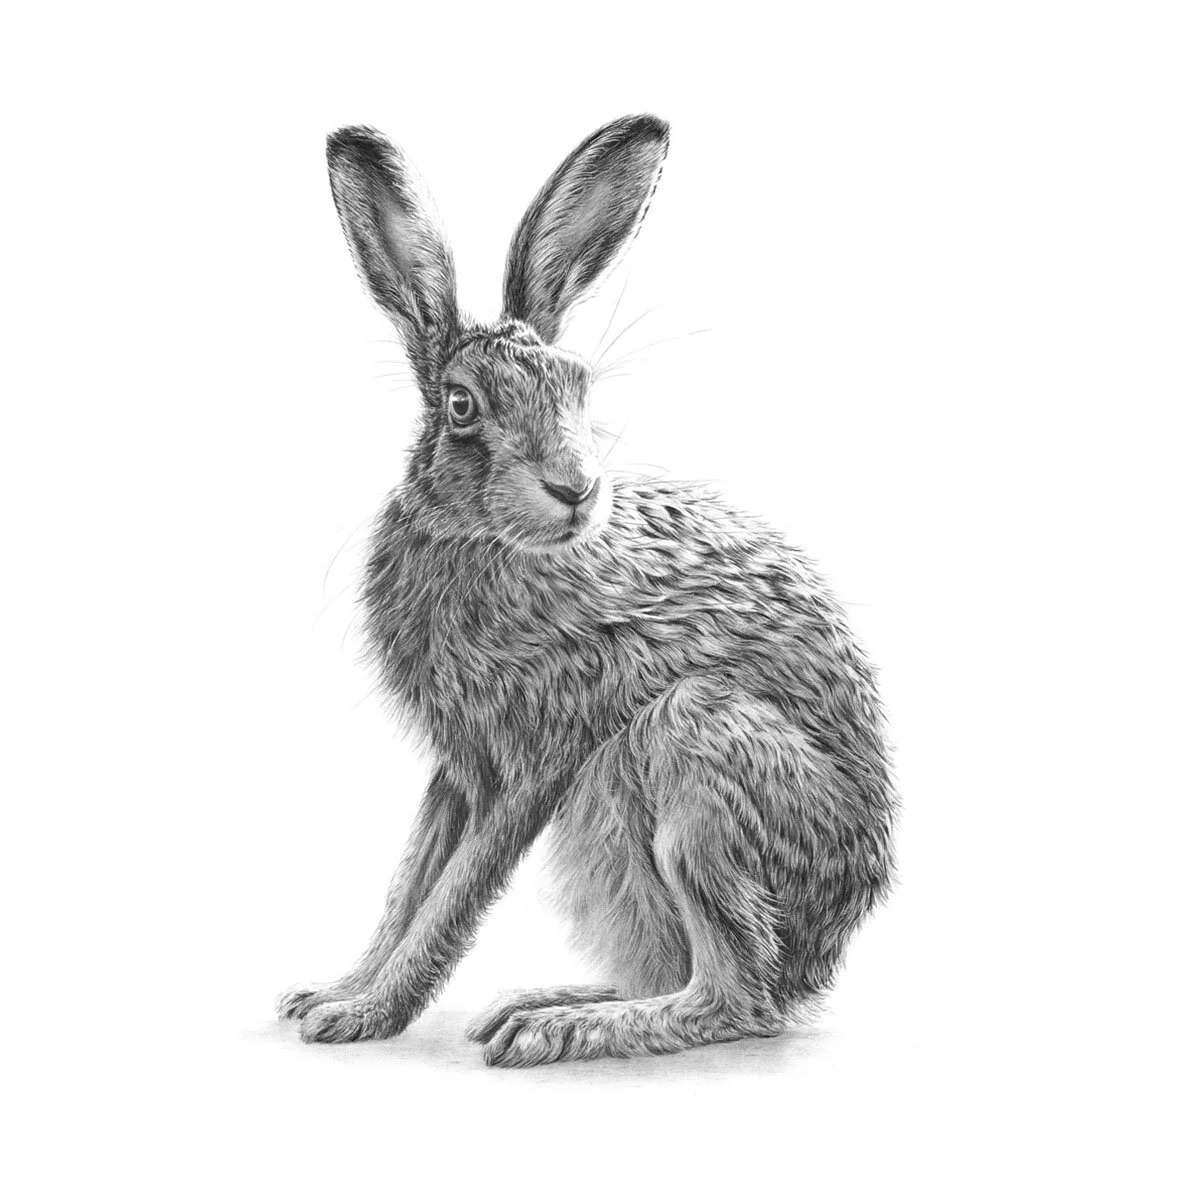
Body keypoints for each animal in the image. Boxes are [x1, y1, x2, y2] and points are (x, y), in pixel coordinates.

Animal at [277, 114, 897, 1067]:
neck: (490, 546)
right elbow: (412, 884)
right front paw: (335, 993)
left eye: (579, 390)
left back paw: (563, 1029)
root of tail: (826, 954)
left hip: (699, 754)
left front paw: (364, 1016)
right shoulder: (462, 768)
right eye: (461, 405)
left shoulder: (539, 758)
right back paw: (538, 1002)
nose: (576, 488)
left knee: (733, 998)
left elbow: (453, 900)